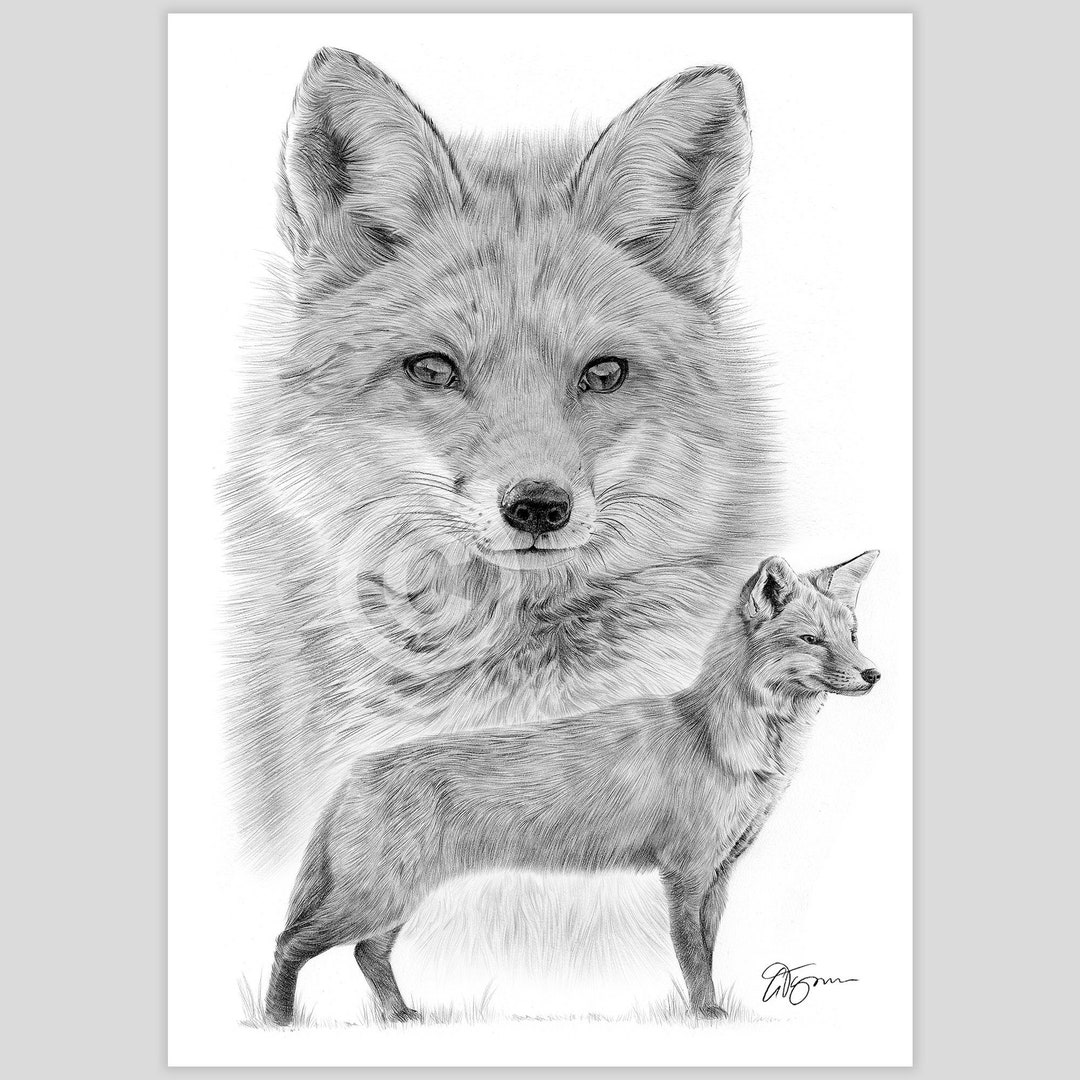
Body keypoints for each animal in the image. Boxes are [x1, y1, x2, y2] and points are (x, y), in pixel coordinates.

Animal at [264, 551, 880, 1025]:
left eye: (852, 636)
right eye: (812, 639)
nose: (874, 674)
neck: (721, 742)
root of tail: (354, 772)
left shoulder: (721, 874)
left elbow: (707, 950)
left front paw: (711, 1011)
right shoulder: (684, 872)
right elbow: (693, 958)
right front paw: (705, 1014)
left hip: (394, 899)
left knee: (366, 954)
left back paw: (398, 1015)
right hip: (375, 896)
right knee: (289, 942)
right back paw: (277, 1021)